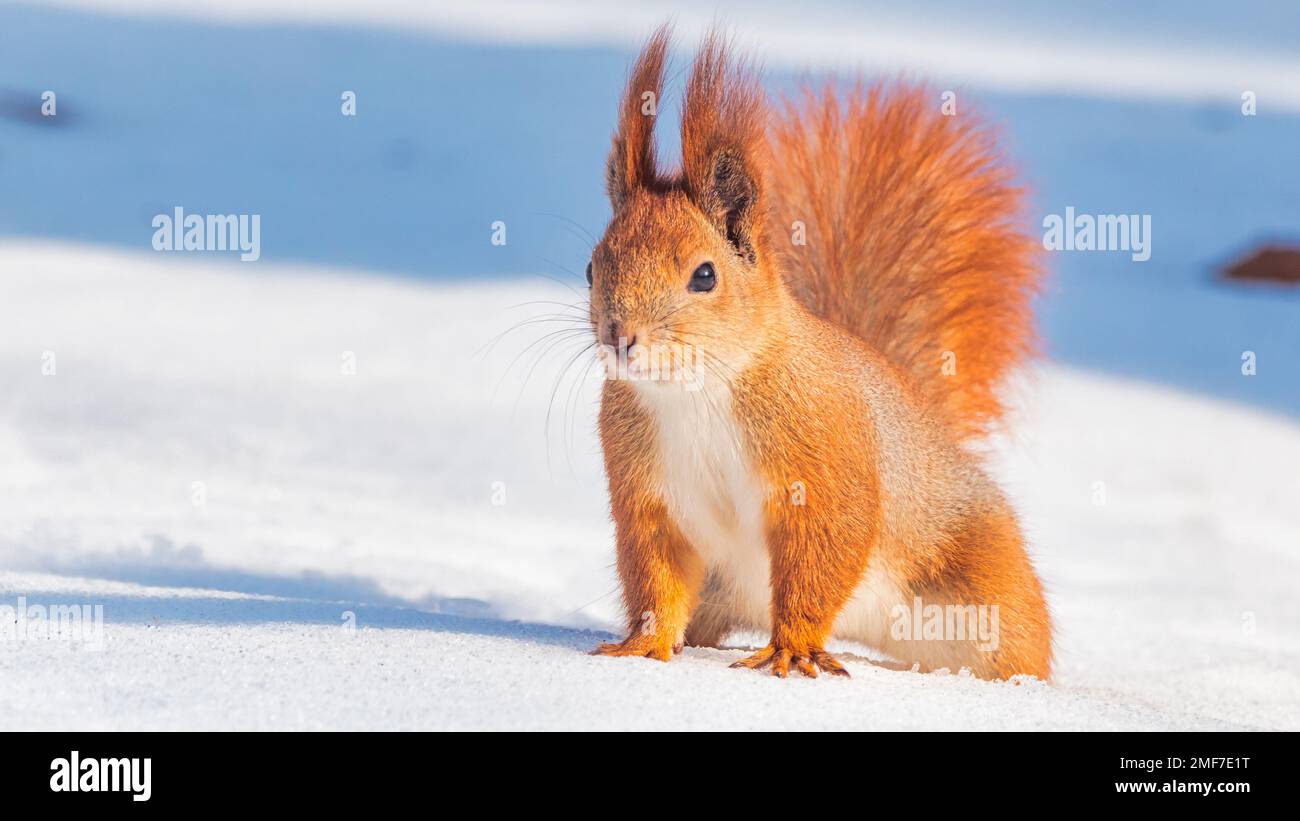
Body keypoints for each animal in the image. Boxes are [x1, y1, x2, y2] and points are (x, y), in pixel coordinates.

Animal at [587, 27, 1052, 680]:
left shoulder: (824, 461)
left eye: (705, 275)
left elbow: (825, 551)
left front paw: (794, 648)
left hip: (986, 592)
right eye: (591, 268)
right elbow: (656, 575)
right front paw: (643, 646)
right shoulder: (647, 493)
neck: (697, 391)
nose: (619, 335)